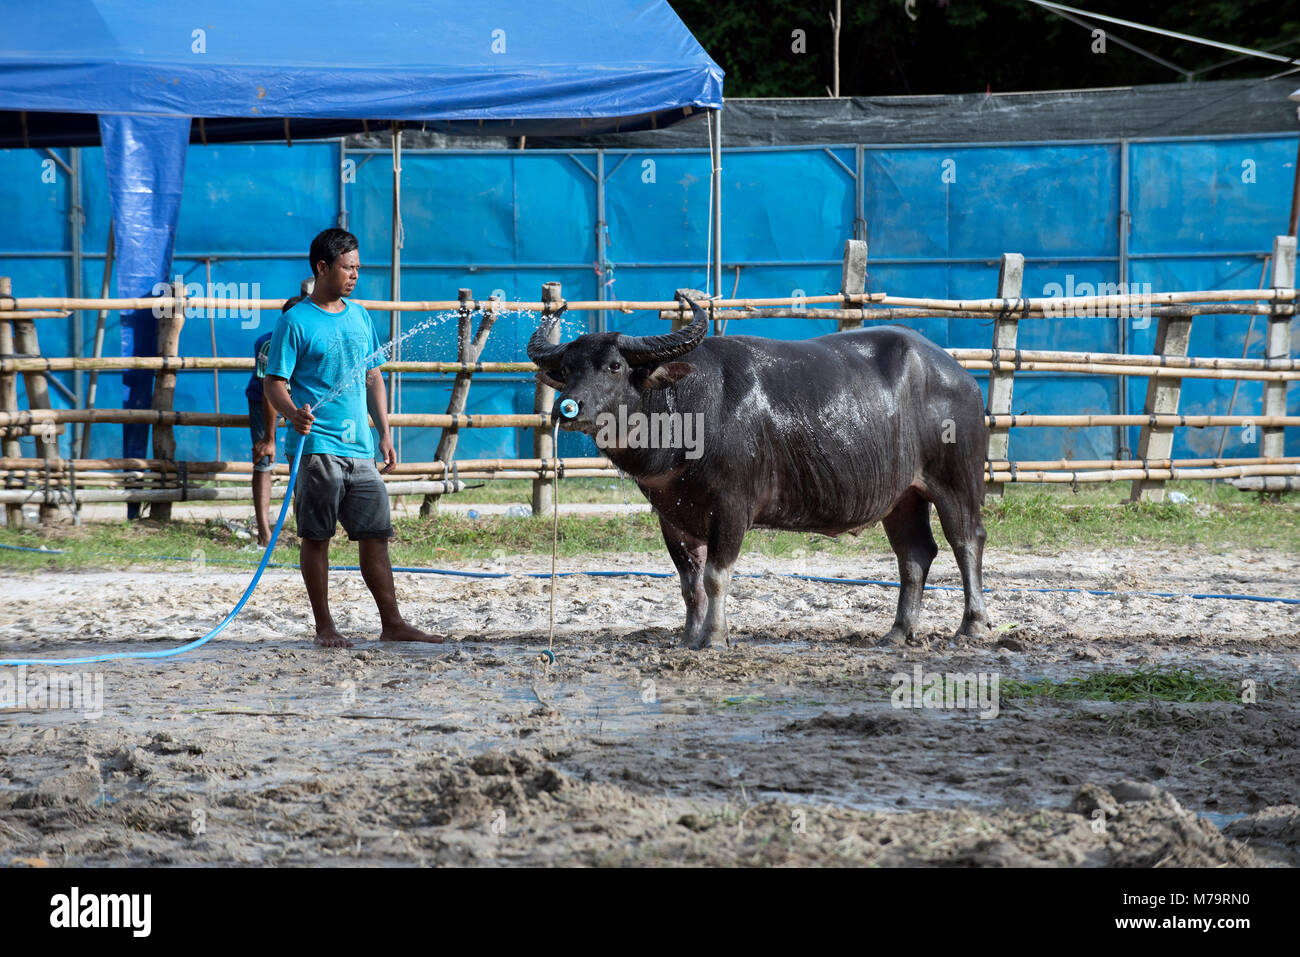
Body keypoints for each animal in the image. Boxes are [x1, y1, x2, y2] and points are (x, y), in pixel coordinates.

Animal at [528, 297, 992, 649]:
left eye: (614, 366)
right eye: (567, 370)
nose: (567, 409)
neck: (688, 412)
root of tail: (961, 376)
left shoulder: (732, 507)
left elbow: (716, 577)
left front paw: (715, 638)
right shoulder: (671, 517)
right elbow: (689, 584)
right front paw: (688, 638)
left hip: (957, 480)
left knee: (967, 541)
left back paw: (971, 625)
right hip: (902, 496)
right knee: (915, 554)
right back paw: (897, 632)